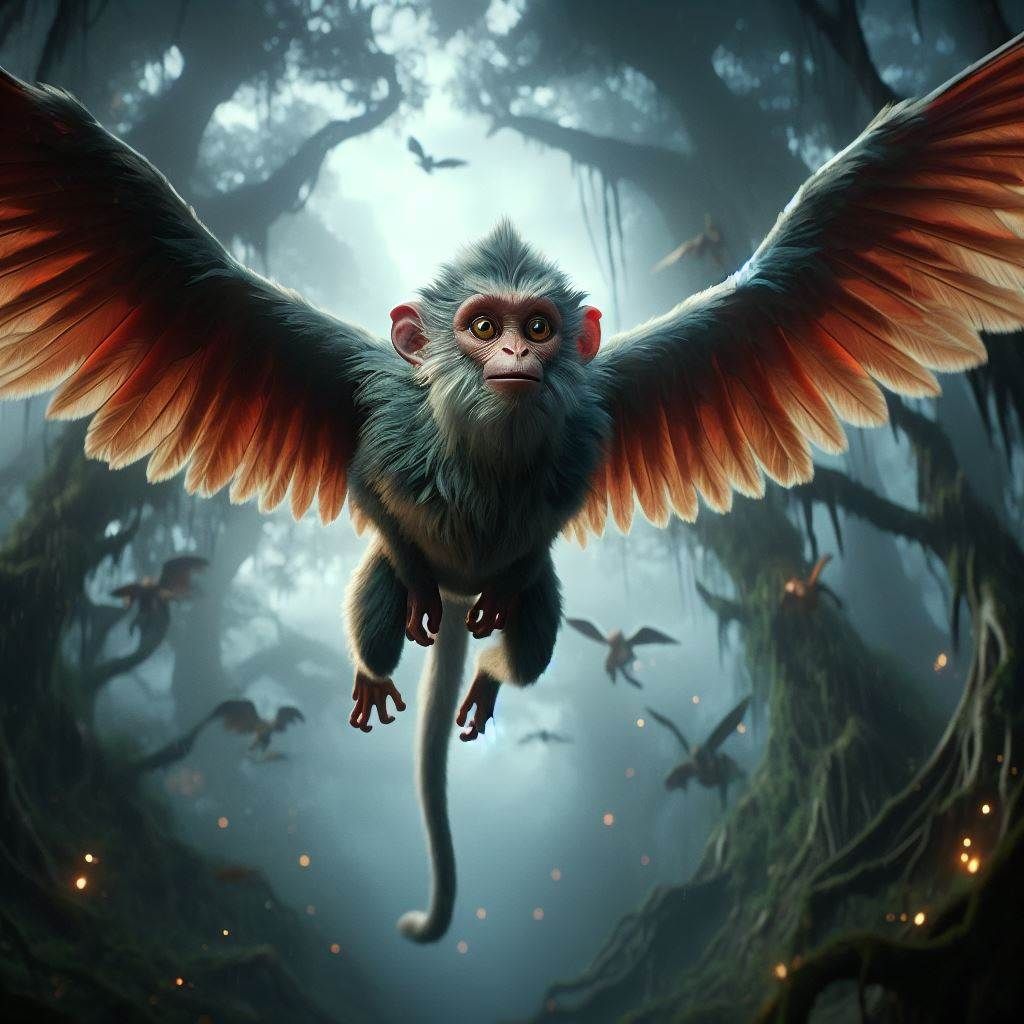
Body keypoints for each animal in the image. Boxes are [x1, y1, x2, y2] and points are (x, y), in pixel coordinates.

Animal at [3, 35, 1024, 941]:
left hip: (533, 614)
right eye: (484, 324)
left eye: (538, 327)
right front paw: (410, 589)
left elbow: (843, 194)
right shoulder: (383, 422)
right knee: (381, 602)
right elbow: (370, 493)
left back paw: (491, 669)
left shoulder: (589, 432)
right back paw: (387, 655)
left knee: (531, 628)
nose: (516, 359)